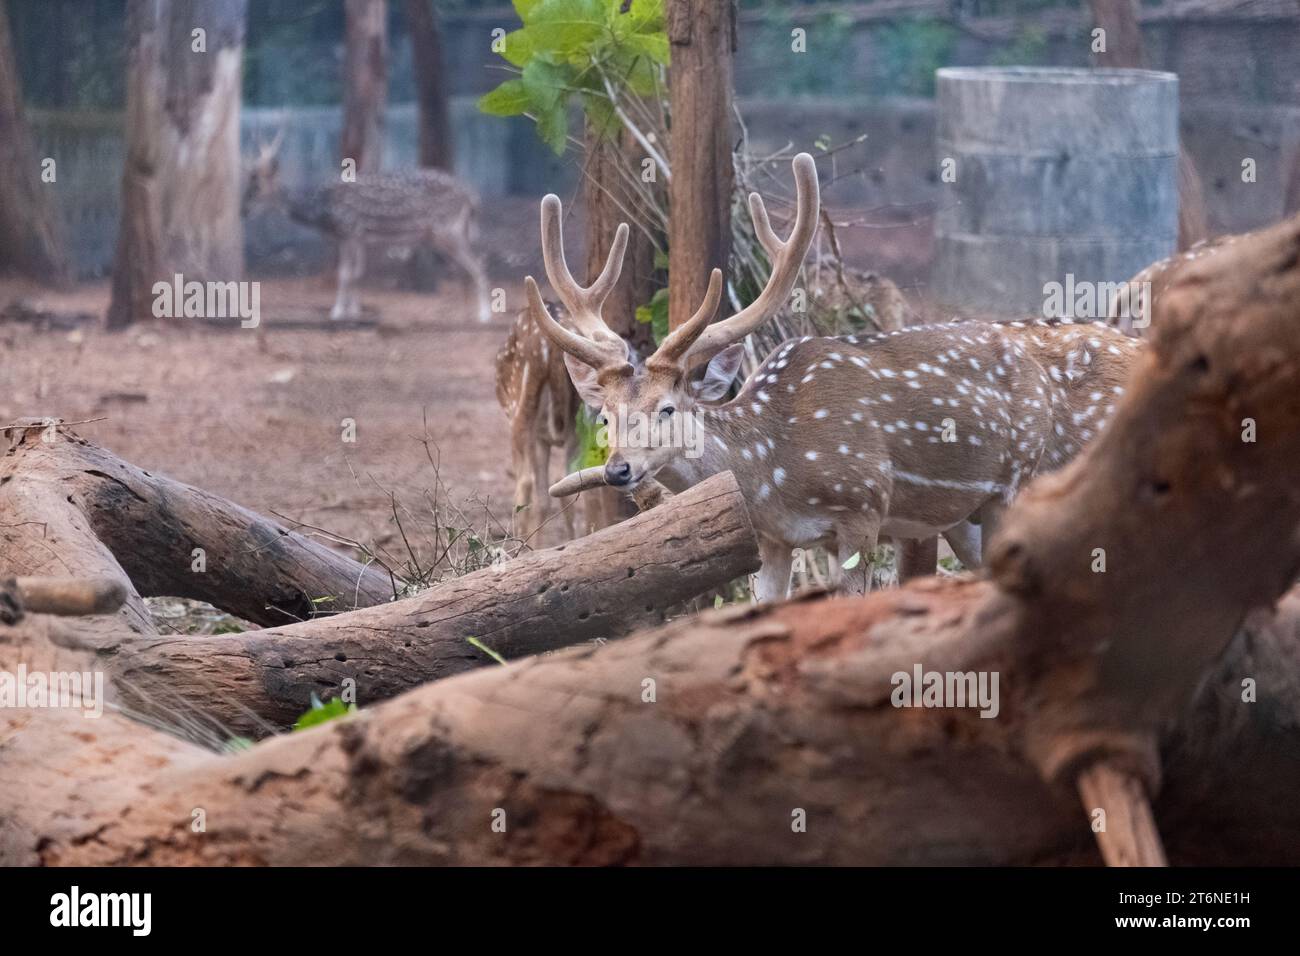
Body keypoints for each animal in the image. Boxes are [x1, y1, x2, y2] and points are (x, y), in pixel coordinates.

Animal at [242, 135, 492, 323]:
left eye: (256, 185)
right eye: (249, 182)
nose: (243, 210)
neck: (323, 212)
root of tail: (472, 197)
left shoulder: (350, 231)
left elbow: (345, 274)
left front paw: (337, 312)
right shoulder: (359, 237)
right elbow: (357, 274)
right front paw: (353, 311)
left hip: (448, 229)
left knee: (477, 264)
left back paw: (484, 315)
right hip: (445, 234)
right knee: (464, 268)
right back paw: (464, 314)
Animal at [528, 153, 1144, 600]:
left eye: (667, 407)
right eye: (605, 414)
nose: (618, 469)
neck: (773, 469)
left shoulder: (862, 508)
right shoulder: (772, 542)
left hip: (1020, 483)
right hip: (970, 517)